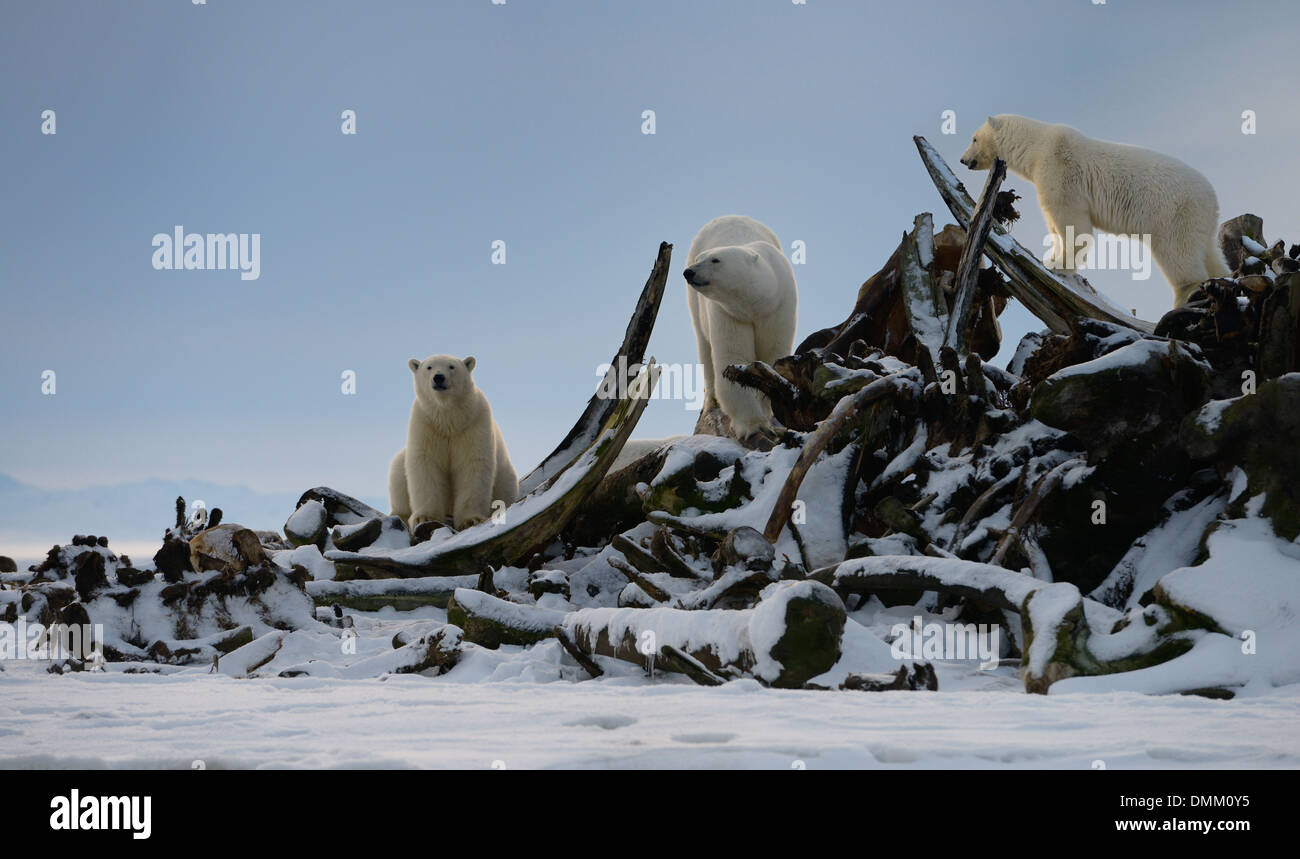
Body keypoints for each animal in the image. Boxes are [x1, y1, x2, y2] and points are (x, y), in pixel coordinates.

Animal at [388, 355, 518, 531]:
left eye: (451, 366)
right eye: (429, 367)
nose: (439, 377)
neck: (449, 417)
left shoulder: (474, 423)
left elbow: (472, 464)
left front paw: (471, 520)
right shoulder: (426, 424)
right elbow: (425, 464)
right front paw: (424, 517)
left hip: (505, 476)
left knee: (506, 488)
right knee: (398, 472)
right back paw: (400, 514)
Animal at [683, 215, 798, 440]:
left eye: (715, 260)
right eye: (699, 259)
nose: (689, 272)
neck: (756, 303)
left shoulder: (778, 307)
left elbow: (771, 355)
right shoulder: (728, 313)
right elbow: (733, 358)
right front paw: (753, 425)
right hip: (695, 306)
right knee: (704, 348)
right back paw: (711, 403)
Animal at [959, 114, 1229, 306]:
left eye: (974, 138)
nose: (963, 160)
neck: (1037, 146)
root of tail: (1213, 197)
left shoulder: (1060, 167)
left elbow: (1071, 222)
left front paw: (1059, 265)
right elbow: (1054, 224)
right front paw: (1051, 256)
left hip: (1174, 212)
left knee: (1177, 253)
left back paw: (1185, 295)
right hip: (1199, 220)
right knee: (1208, 252)